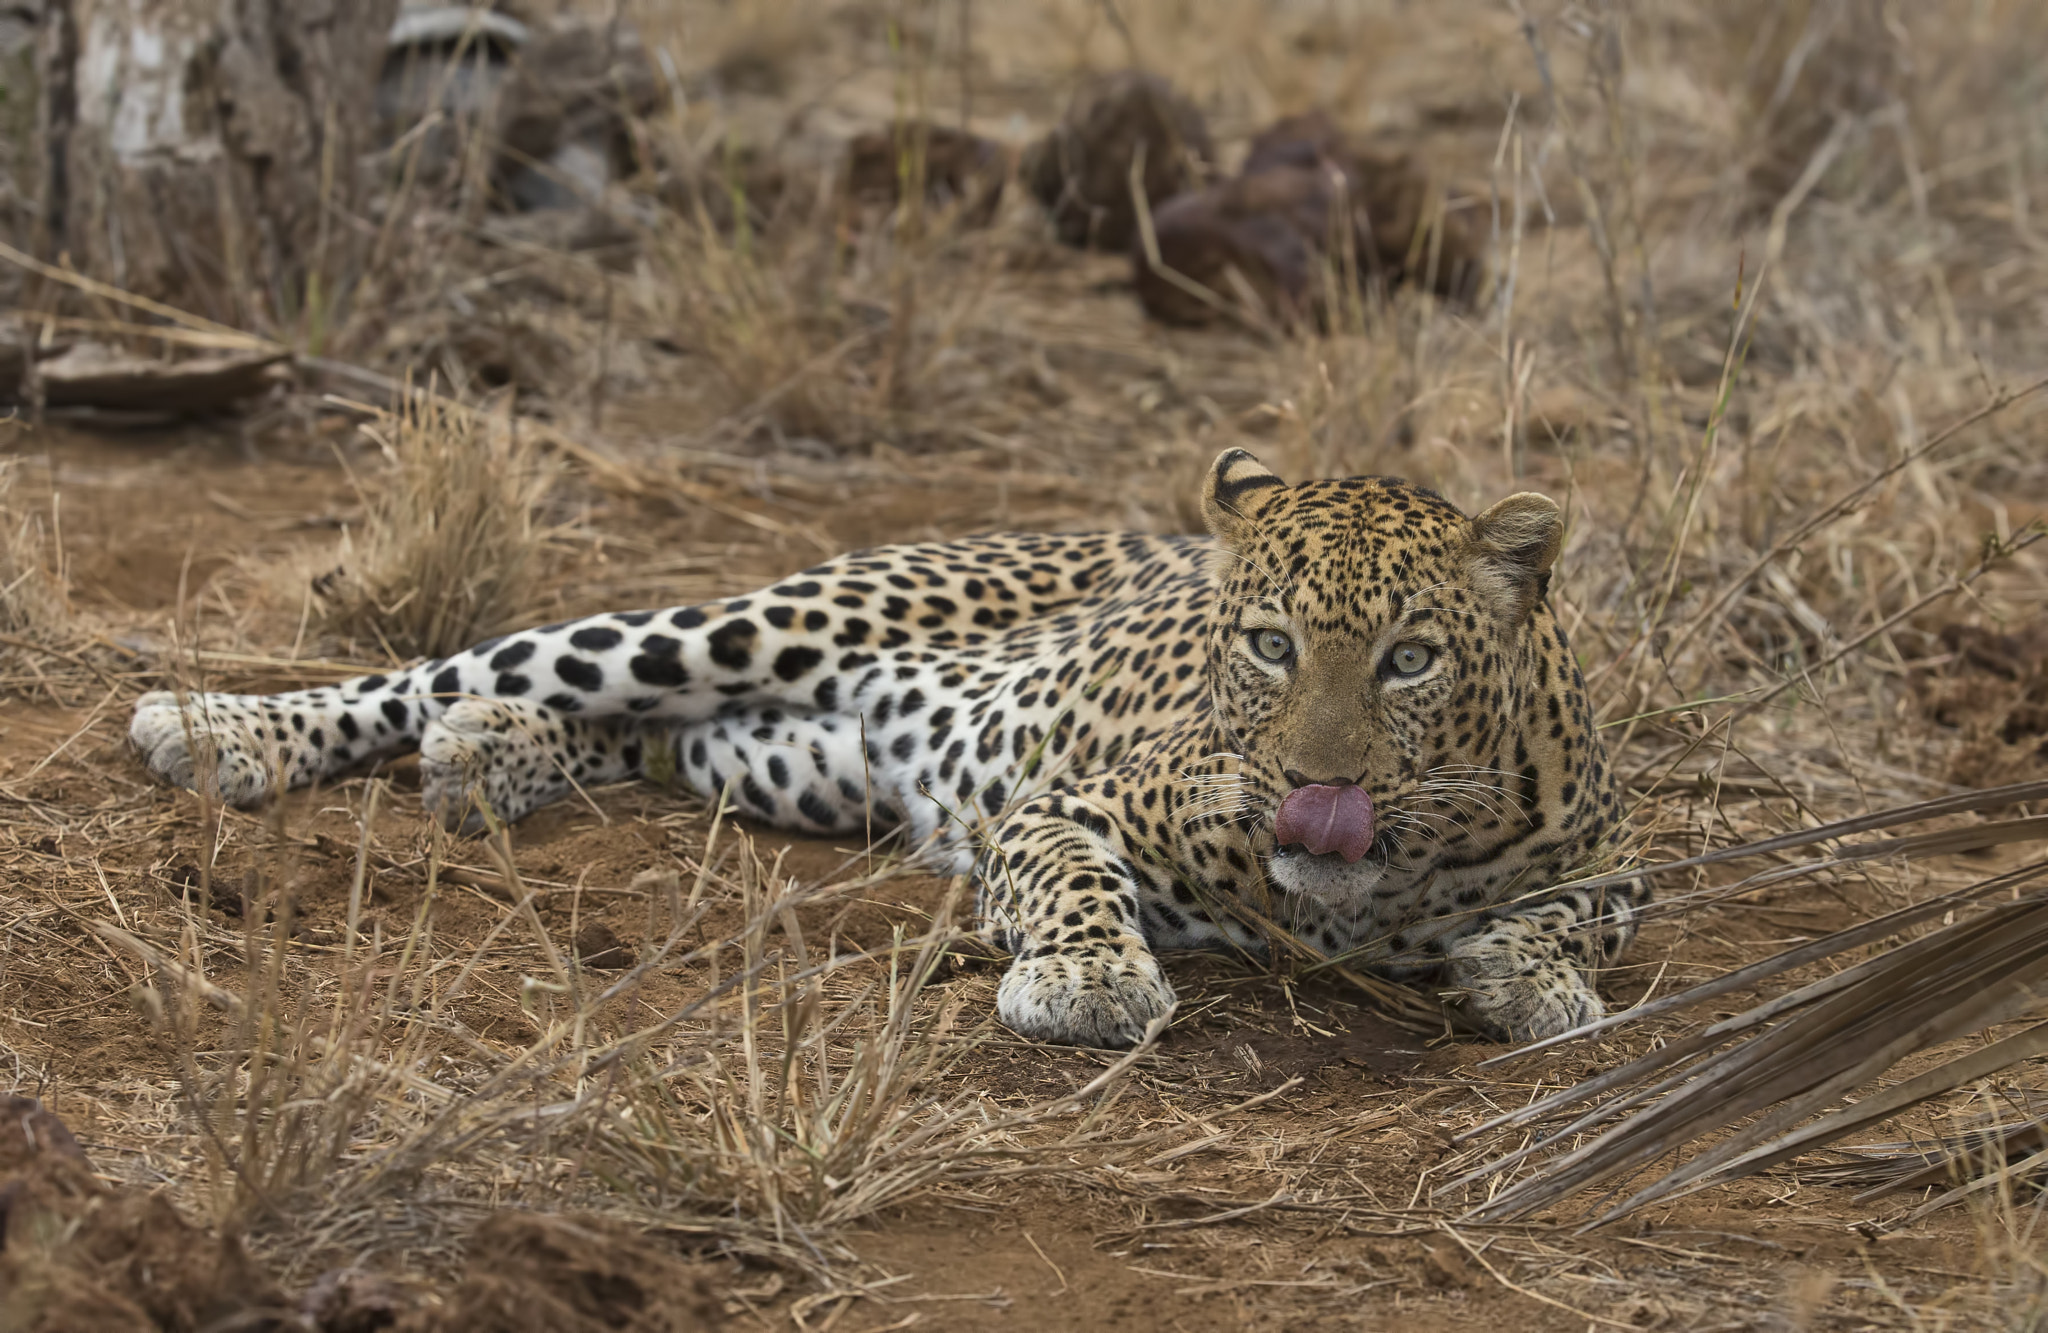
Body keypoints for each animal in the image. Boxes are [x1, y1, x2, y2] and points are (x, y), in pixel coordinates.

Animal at [129, 449, 1643, 1048]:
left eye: (1409, 660)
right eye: (1269, 644)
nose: (1319, 784)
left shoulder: (1621, 859)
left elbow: (1574, 914)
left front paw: (1529, 980)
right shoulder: (1067, 808)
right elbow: (1077, 889)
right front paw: (1089, 981)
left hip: (790, 756)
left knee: (639, 738)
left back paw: (486, 758)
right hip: (765, 621)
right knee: (475, 664)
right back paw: (220, 730)